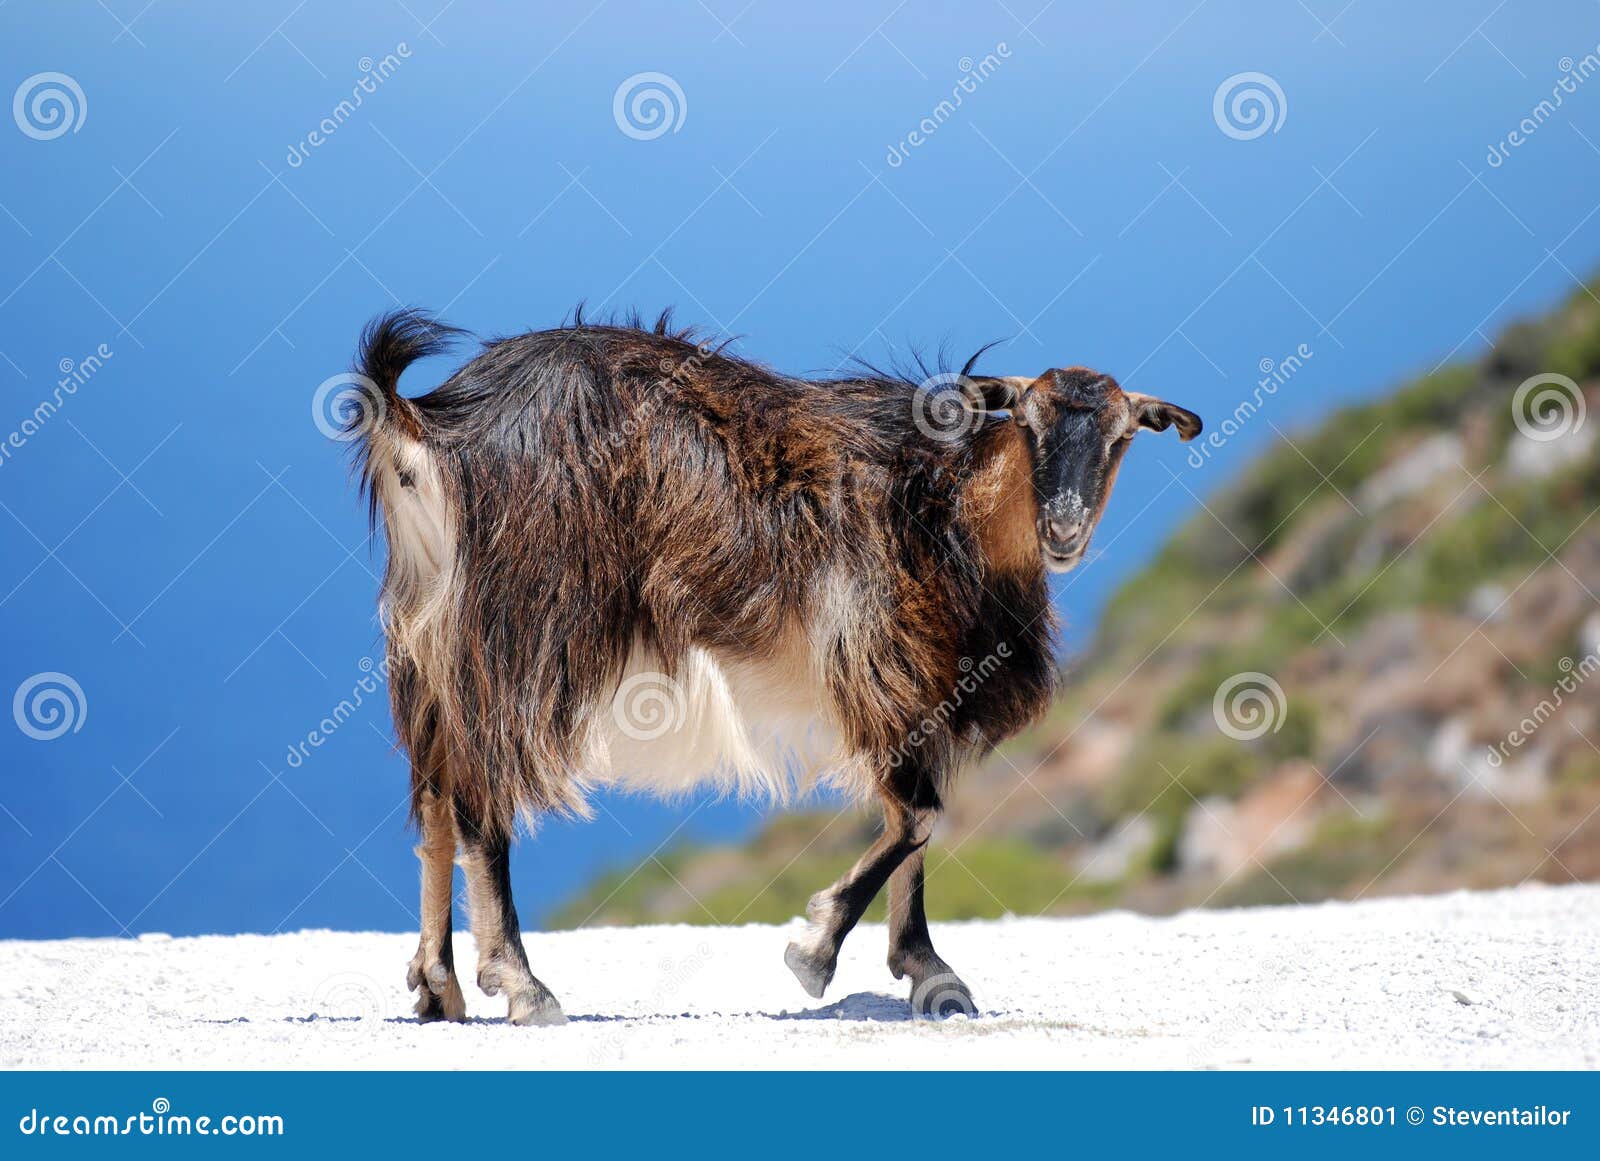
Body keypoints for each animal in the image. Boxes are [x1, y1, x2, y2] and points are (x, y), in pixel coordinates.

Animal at [347, 308, 1201, 1024]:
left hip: (428, 647)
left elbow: (916, 822)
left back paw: (438, 986)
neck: (947, 502)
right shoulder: (880, 664)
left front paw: (930, 973)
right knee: (481, 801)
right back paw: (523, 985)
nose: (1064, 528)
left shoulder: (922, 693)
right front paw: (815, 952)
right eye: (1027, 422)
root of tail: (431, 420)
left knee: (435, 801)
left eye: (1123, 435)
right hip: (520, 631)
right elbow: (918, 816)